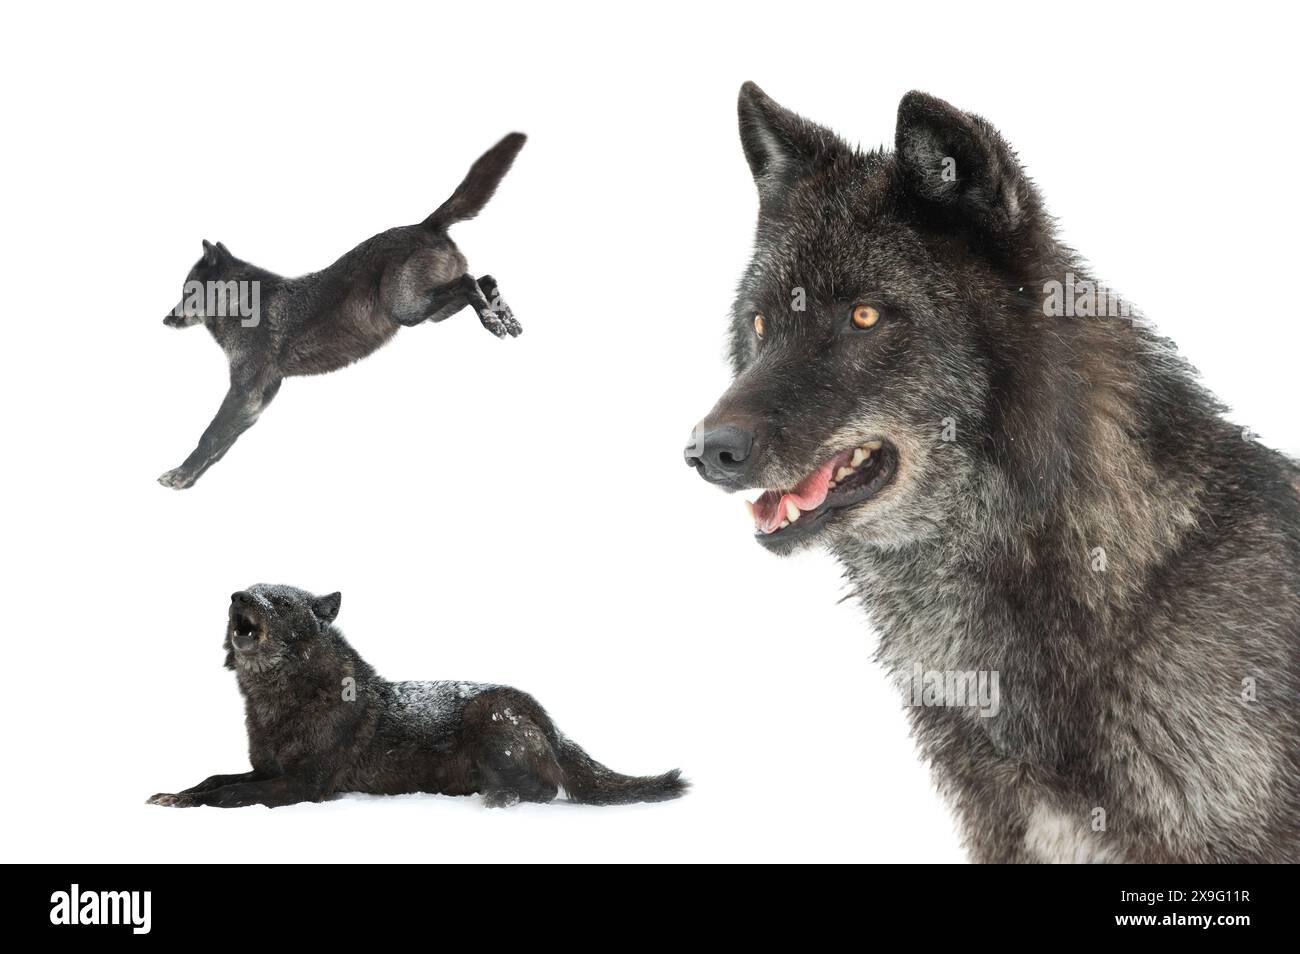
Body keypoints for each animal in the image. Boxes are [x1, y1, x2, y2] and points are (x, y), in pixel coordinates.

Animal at [147, 584, 687, 809]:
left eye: (278, 601)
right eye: (246, 590)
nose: (237, 596)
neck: (283, 701)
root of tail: (552, 723)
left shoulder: (304, 784)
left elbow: (230, 794)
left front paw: (188, 804)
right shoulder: (267, 769)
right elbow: (215, 778)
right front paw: (175, 792)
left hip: (489, 714)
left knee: (547, 787)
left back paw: (501, 797)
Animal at [159, 133, 527, 490]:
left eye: (188, 291)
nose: (166, 319)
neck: (242, 304)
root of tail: (425, 225)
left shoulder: (243, 392)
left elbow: (210, 436)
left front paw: (179, 475)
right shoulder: (259, 399)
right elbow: (221, 445)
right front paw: (191, 478)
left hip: (409, 309)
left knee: (470, 280)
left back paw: (494, 323)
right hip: (428, 312)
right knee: (485, 278)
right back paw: (509, 322)